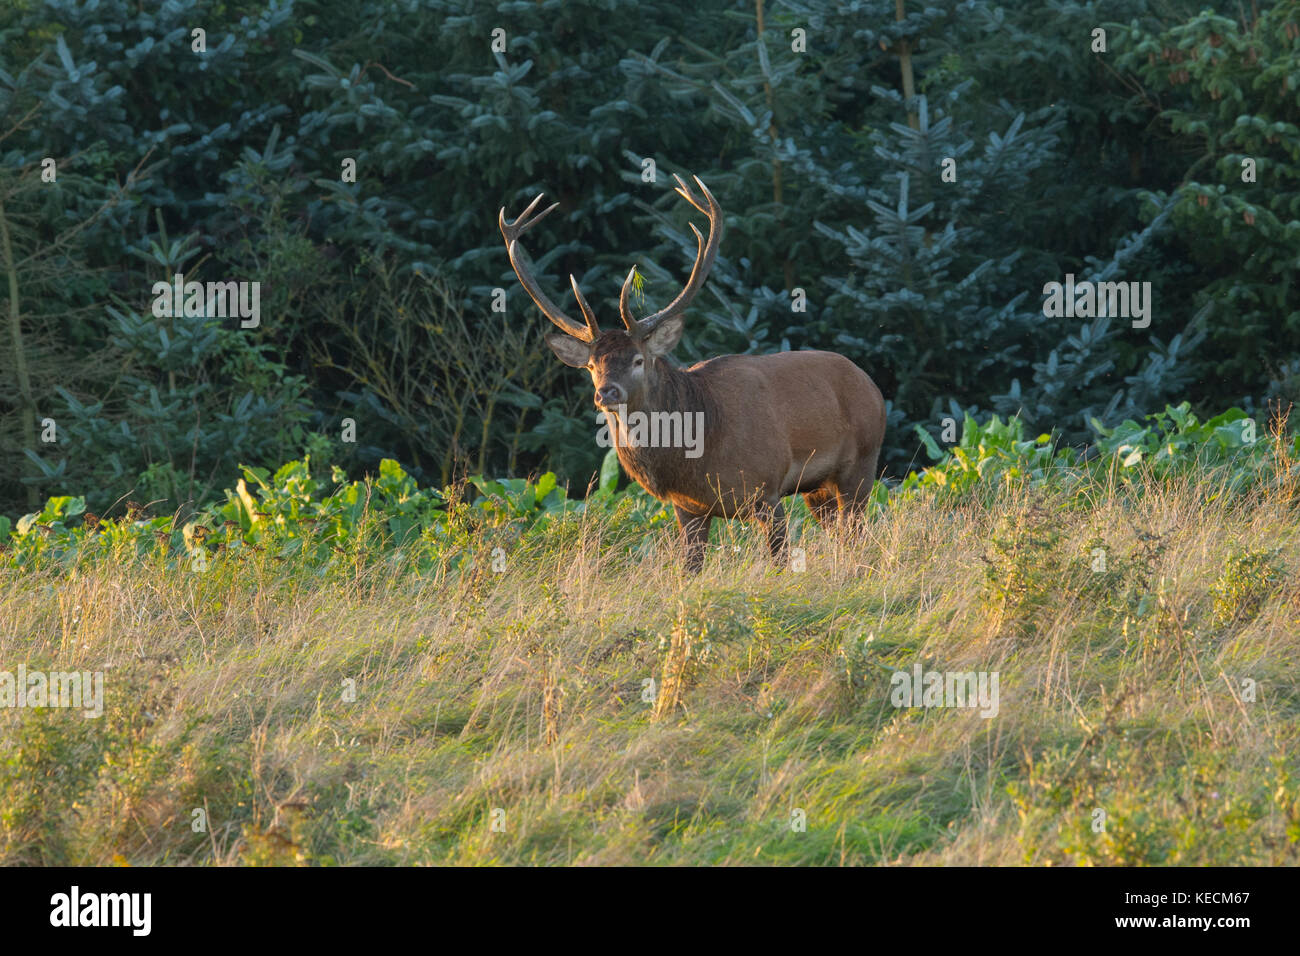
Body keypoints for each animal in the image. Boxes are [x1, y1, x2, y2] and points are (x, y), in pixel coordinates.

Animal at [499, 174, 887, 573]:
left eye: (638, 360)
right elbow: (690, 569)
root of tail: (871, 385)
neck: (699, 449)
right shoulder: (687, 508)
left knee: (858, 533)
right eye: (592, 365)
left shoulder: (766, 490)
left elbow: (779, 561)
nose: (607, 392)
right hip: (817, 488)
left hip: (862, 464)